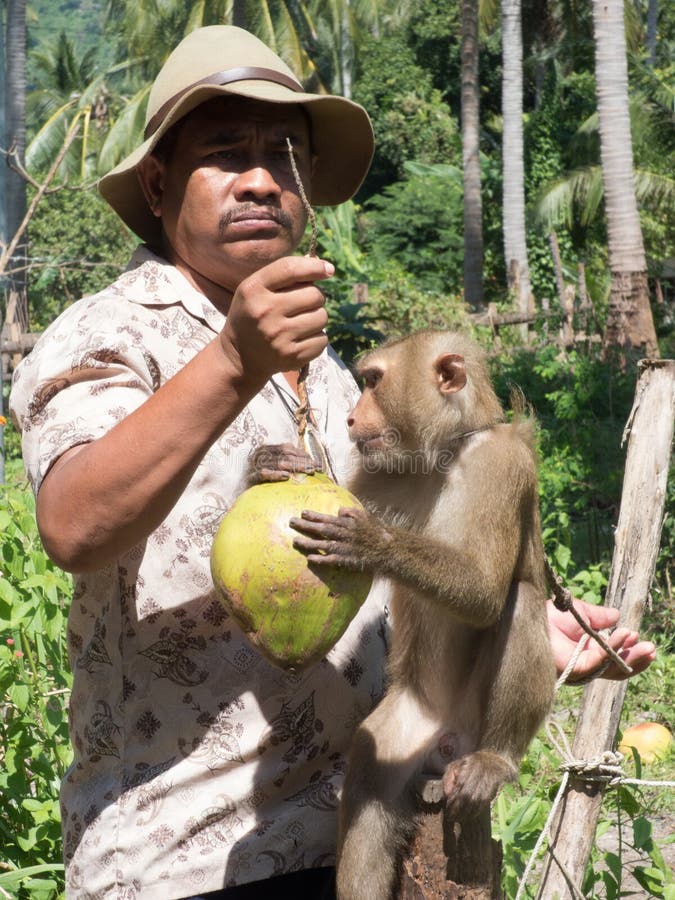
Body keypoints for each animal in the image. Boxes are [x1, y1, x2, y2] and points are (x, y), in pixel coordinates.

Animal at [286, 329, 556, 900]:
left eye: (373, 381)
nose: (351, 418)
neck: (444, 457)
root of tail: (447, 744)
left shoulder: (500, 463)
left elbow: (484, 593)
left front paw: (372, 542)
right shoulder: (376, 472)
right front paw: (270, 464)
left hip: (473, 729)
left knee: (519, 602)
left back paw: (495, 761)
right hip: (408, 730)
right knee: (368, 776)